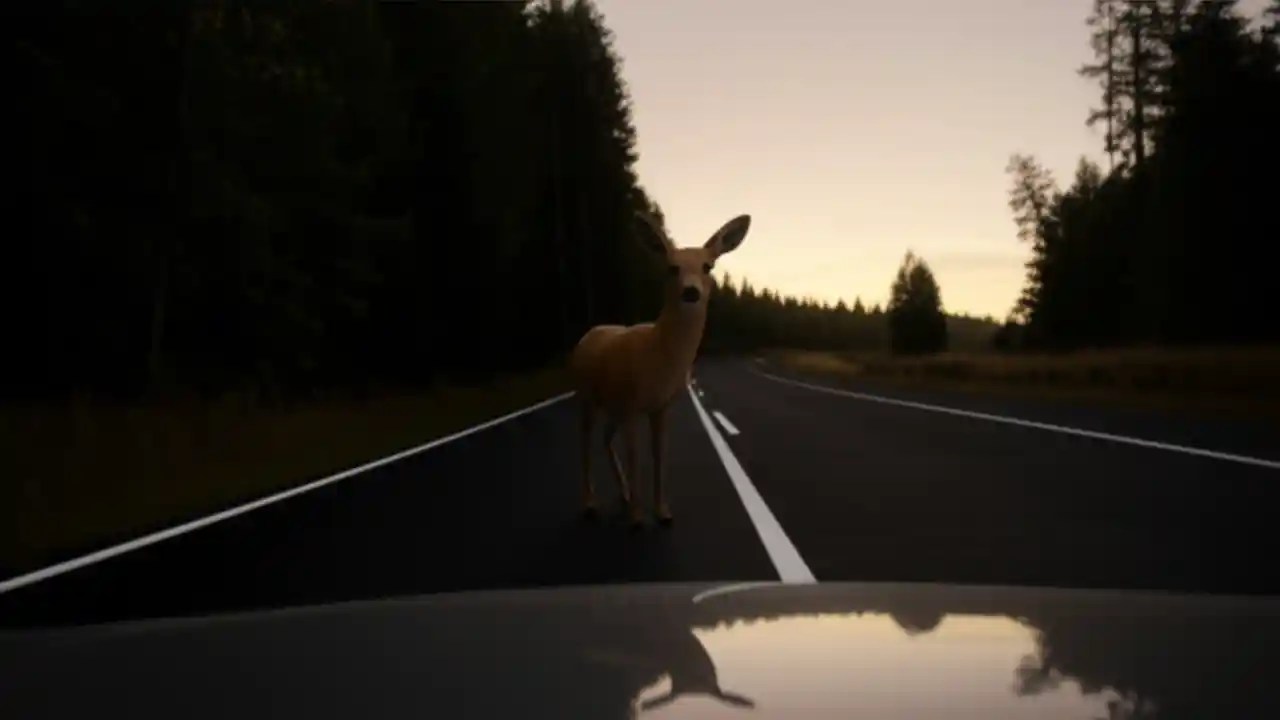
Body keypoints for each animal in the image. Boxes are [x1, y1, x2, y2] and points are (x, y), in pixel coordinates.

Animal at [569, 211, 752, 528]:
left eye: (708, 266)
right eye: (672, 267)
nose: (691, 292)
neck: (659, 357)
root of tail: (590, 333)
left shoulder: (660, 406)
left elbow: (659, 456)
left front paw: (662, 512)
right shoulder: (632, 404)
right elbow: (635, 456)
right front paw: (637, 519)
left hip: (612, 404)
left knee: (605, 438)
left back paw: (624, 494)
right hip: (586, 396)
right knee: (585, 444)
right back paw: (590, 503)